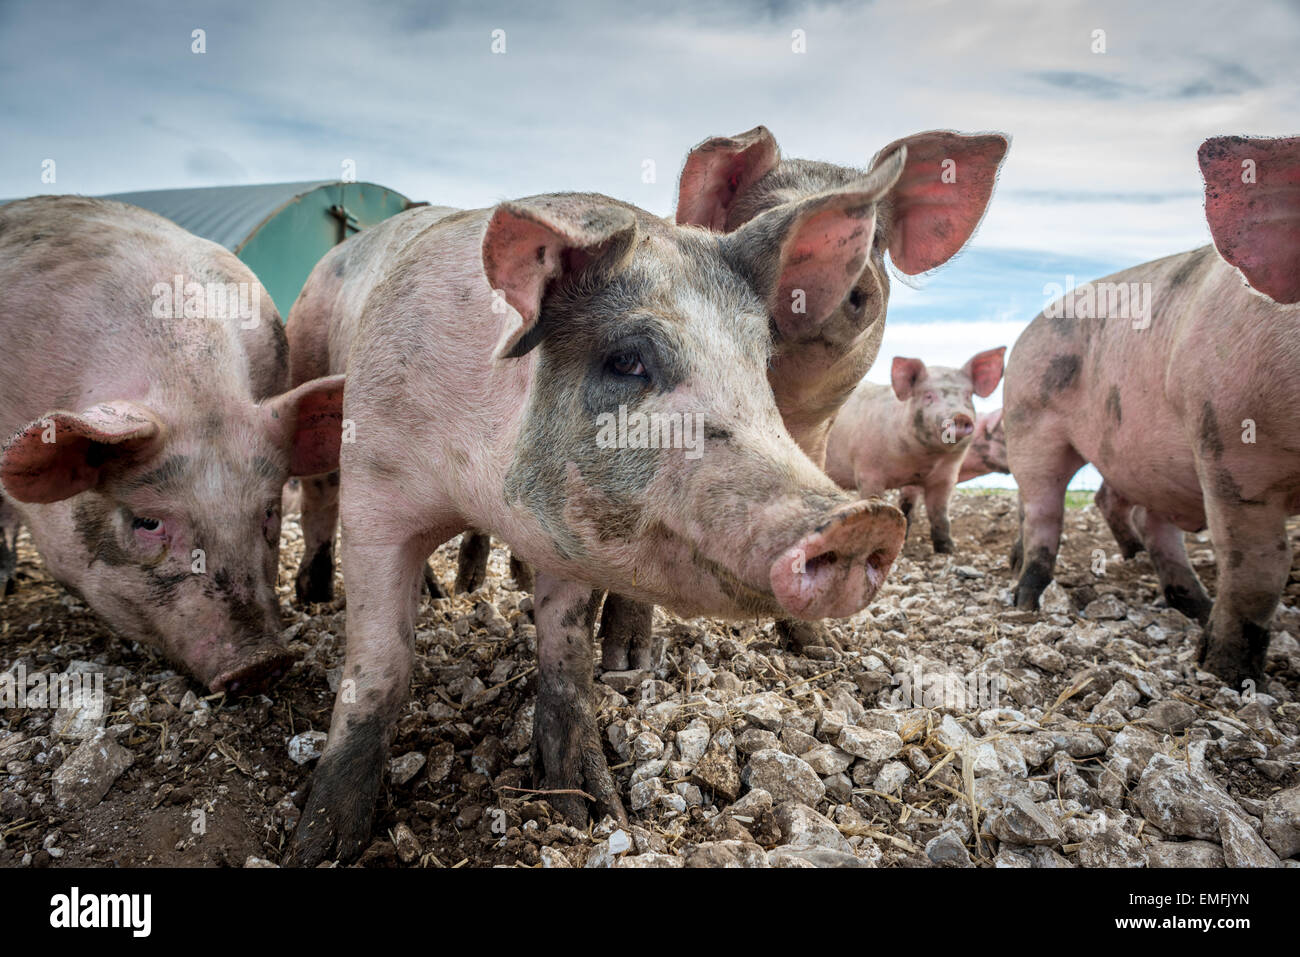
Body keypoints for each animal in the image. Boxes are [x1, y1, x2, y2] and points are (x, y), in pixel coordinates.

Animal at [284, 183, 914, 864]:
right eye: (627, 360)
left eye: (761, 364)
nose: (865, 520)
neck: (474, 478)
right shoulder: (375, 487)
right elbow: (382, 665)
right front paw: (321, 845)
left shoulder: (572, 538)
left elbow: (567, 658)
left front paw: (589, 811)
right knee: (317, 500)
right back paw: (318, 595)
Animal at [825, 349, 1005, 552]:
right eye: (928, 396)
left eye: (968, 396)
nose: (960, 416)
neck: (925, 459)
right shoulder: (867, 470)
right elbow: (875, 500)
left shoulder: (944, 477)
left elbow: (934, 512)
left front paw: (947, 549)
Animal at [1005, 135, 1300, 689]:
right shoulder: (1230, 440)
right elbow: (1257, 567)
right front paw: (1229, 675)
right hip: (1031, 422)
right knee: (1043, 511)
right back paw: (1025, 599)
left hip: (1151, 457)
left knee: (1151, 521)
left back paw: (1193, 609)